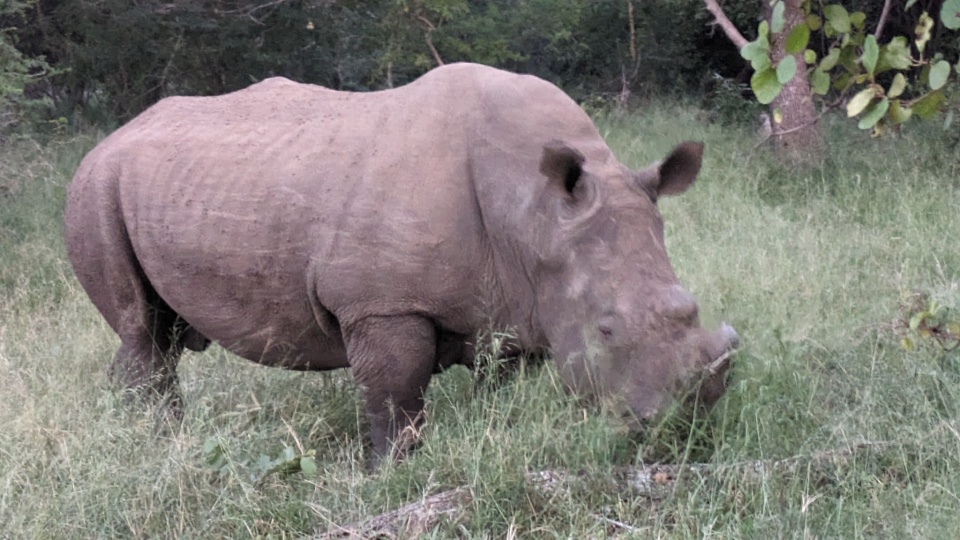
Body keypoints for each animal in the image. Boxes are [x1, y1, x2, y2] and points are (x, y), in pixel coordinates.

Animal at [65, 63, 738, 459]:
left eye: (692, 308)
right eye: (607, 329)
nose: (684, 433)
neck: (534, 212)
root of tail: (107, 140)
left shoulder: (518, 303)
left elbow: (500, 381)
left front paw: (489, 431)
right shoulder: (382, 305)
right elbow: (396, 395)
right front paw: (395, 471)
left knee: (158, 334)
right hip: (95, 187)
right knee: (142, 330)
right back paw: (158, 439)